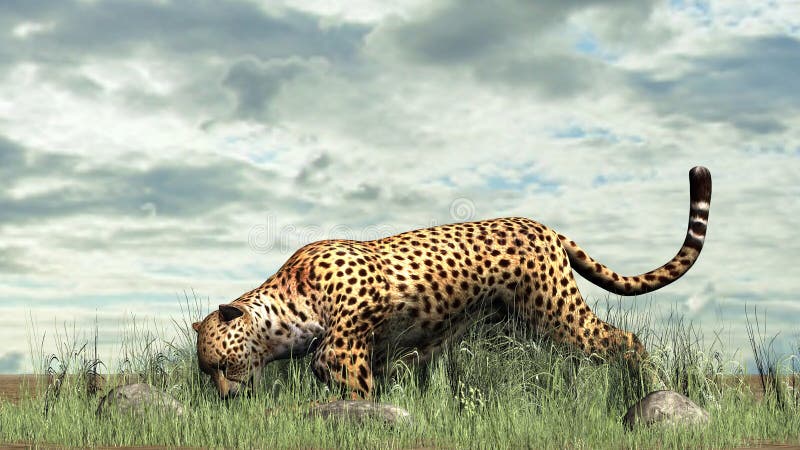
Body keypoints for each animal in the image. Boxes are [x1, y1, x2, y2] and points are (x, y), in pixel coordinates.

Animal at [192, 166, 712, 399]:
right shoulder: (381, 352)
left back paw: (653, 390)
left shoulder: (344, 349)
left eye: (223, 364)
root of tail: (541, 224)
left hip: (557, 315)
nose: (225, 398)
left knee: (625, 340)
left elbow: (353, 391)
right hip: (517, 323)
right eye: (206, 371)